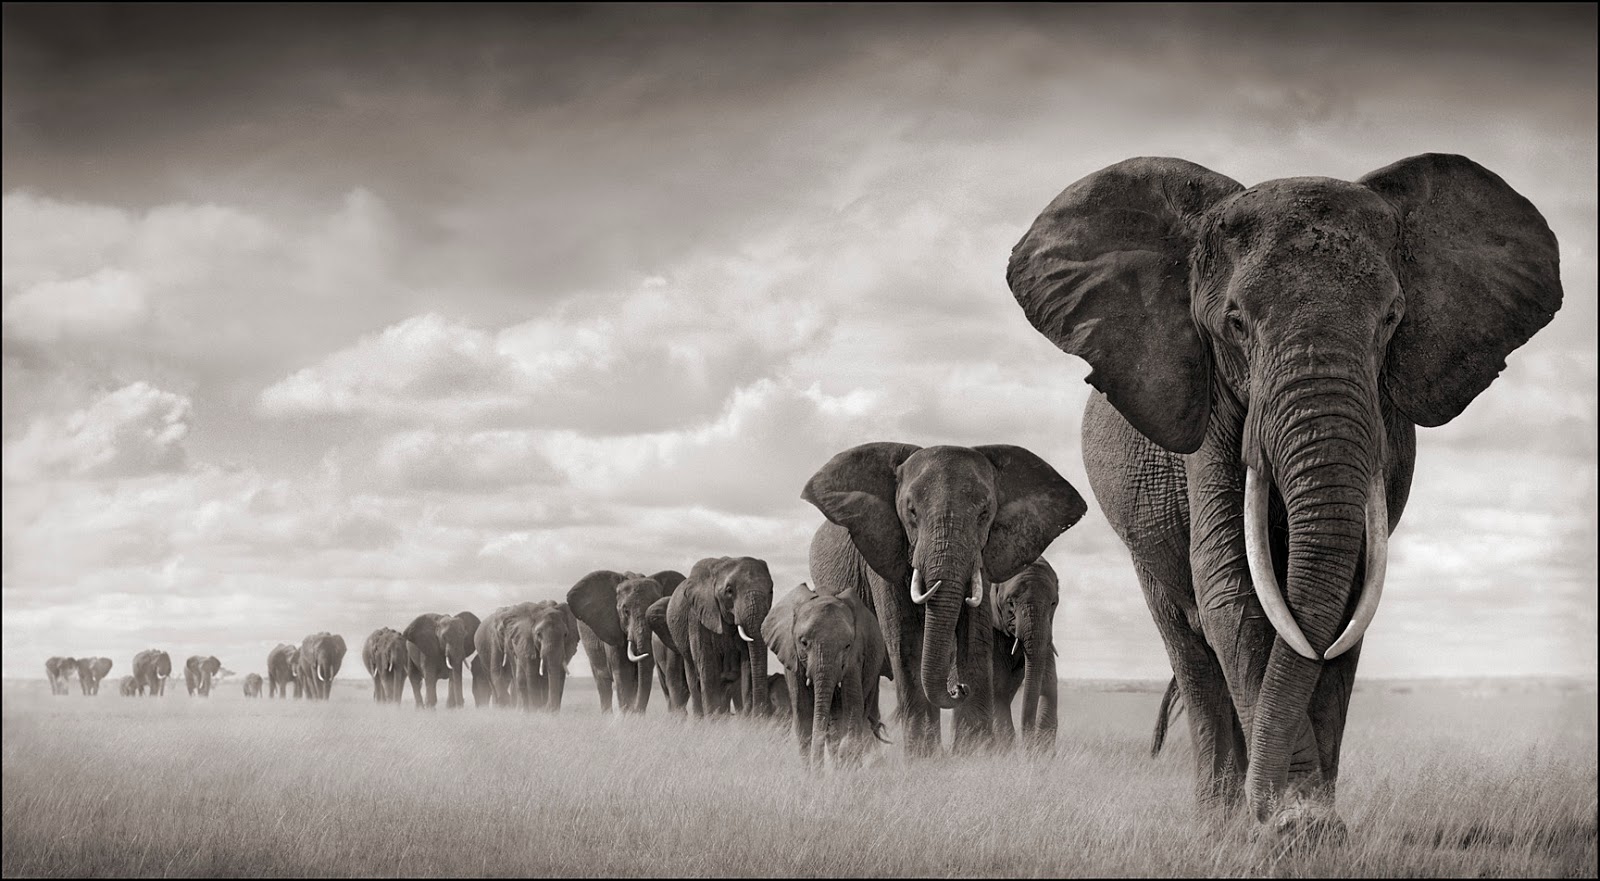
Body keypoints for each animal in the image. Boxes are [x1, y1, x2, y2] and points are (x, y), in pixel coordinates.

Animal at [567, 569, 686, 714]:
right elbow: (623, 673)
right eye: (626, 611)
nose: (636, 712)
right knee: (602, 683)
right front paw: (627, 715)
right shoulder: (612, 629)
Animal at [663, 556, 775, 718]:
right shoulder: (698, 616)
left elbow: (747, 665)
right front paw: (713, 721)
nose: (759, 716)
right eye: (729, 591)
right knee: (694, 680)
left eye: (771, 591)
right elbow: (707, 665)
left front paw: (747, 721)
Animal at [762, 582, 892, 766]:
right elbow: (803, 713)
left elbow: (852, 708)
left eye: (847, 646)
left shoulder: (855, 655)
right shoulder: (791, 654)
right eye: (803, 642)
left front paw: (847, 765)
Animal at [988, 558, 1061, 752]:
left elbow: (1049, 683)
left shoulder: (1047, 632)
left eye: (1053, 603)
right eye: (1010, 604)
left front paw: (1040, 754)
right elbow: (997, 689)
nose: (1027, 746)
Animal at [1006, 153, 1563, 832]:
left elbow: (1349, 597)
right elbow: (1232, 589)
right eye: (1236, 323)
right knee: (1189, 646)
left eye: (1391, 319)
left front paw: (1309, 824)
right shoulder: (1211, 410)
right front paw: (1291, 828)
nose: (1275, 812)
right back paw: (1218, 820)